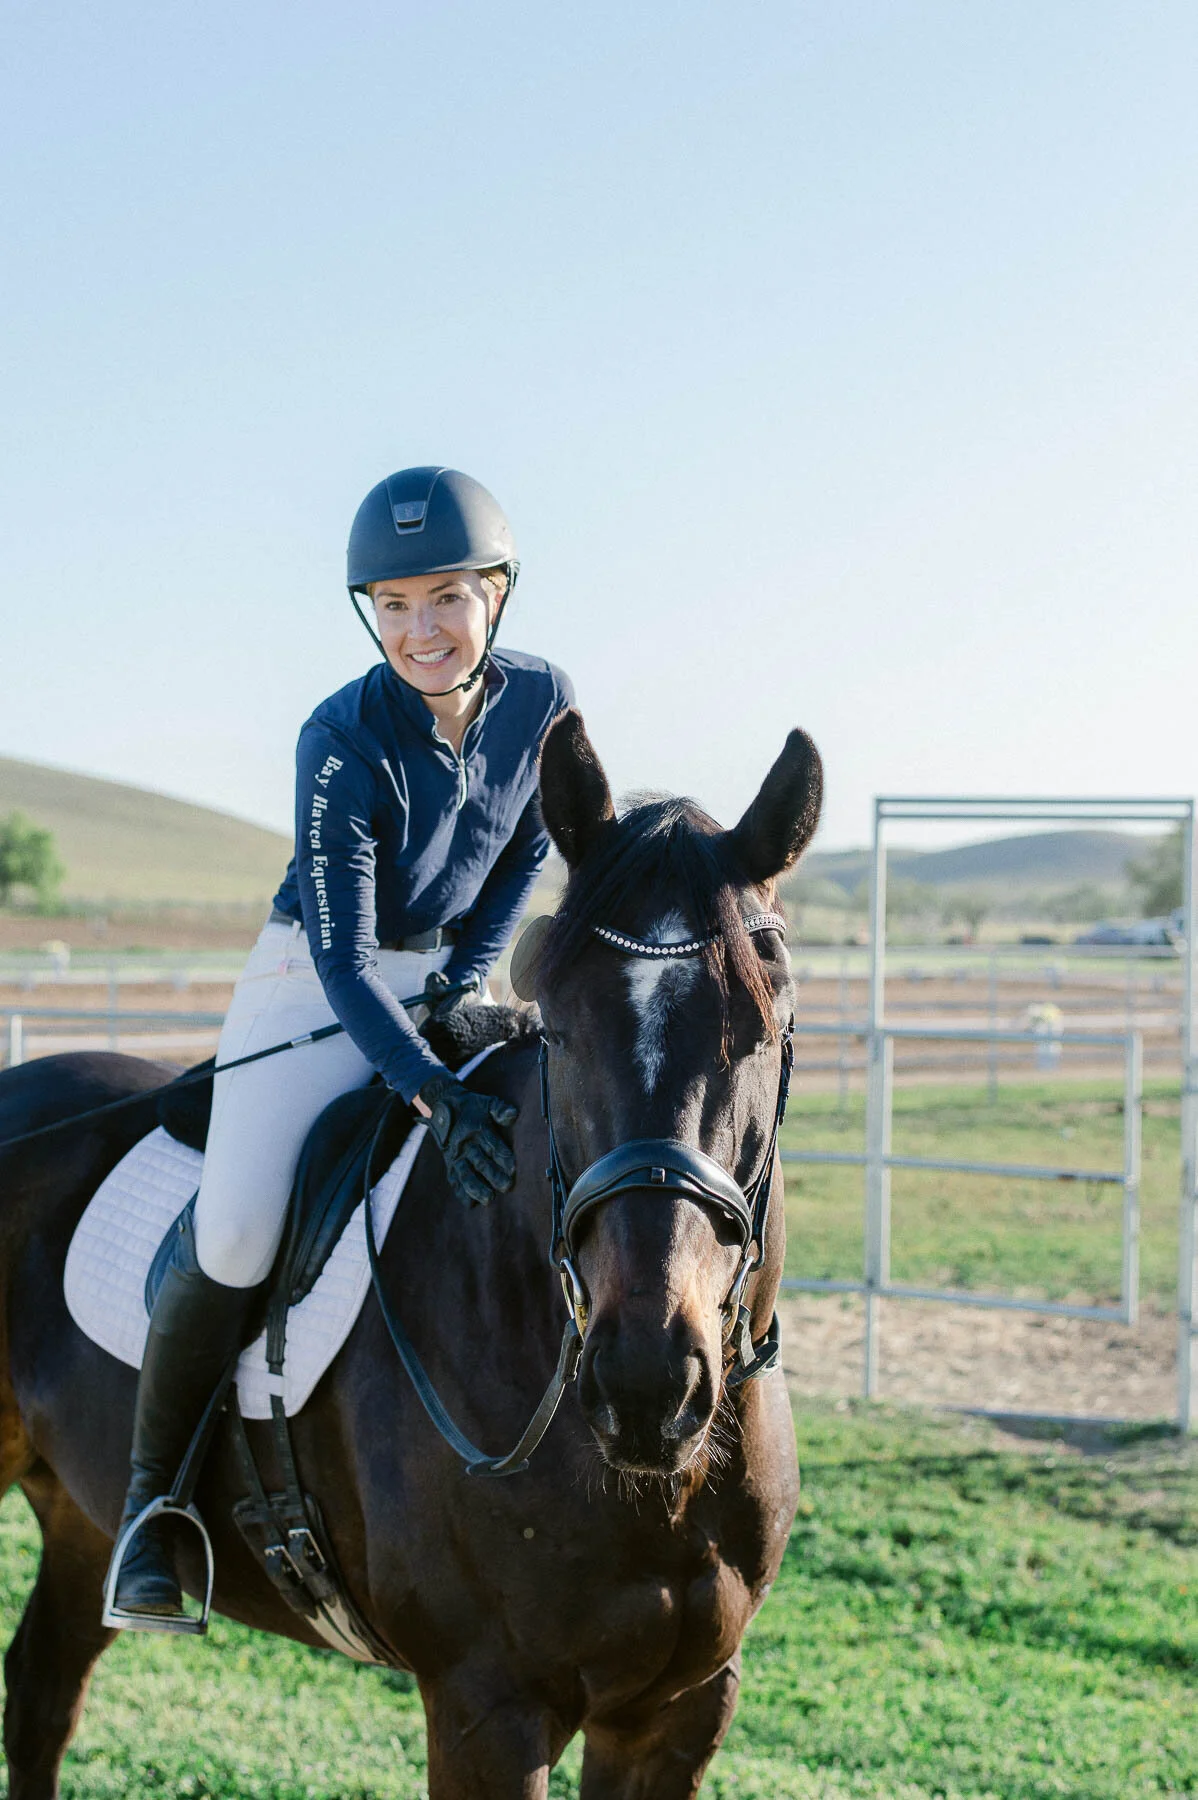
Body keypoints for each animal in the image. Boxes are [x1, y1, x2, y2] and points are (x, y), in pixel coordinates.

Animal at [0, 709, 821, 1800]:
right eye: (559, 1029)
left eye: (768, 1025)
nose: (646, 1383)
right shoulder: (486, 1708)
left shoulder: (680, 1709)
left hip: (79, 1509)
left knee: (42, 1690)